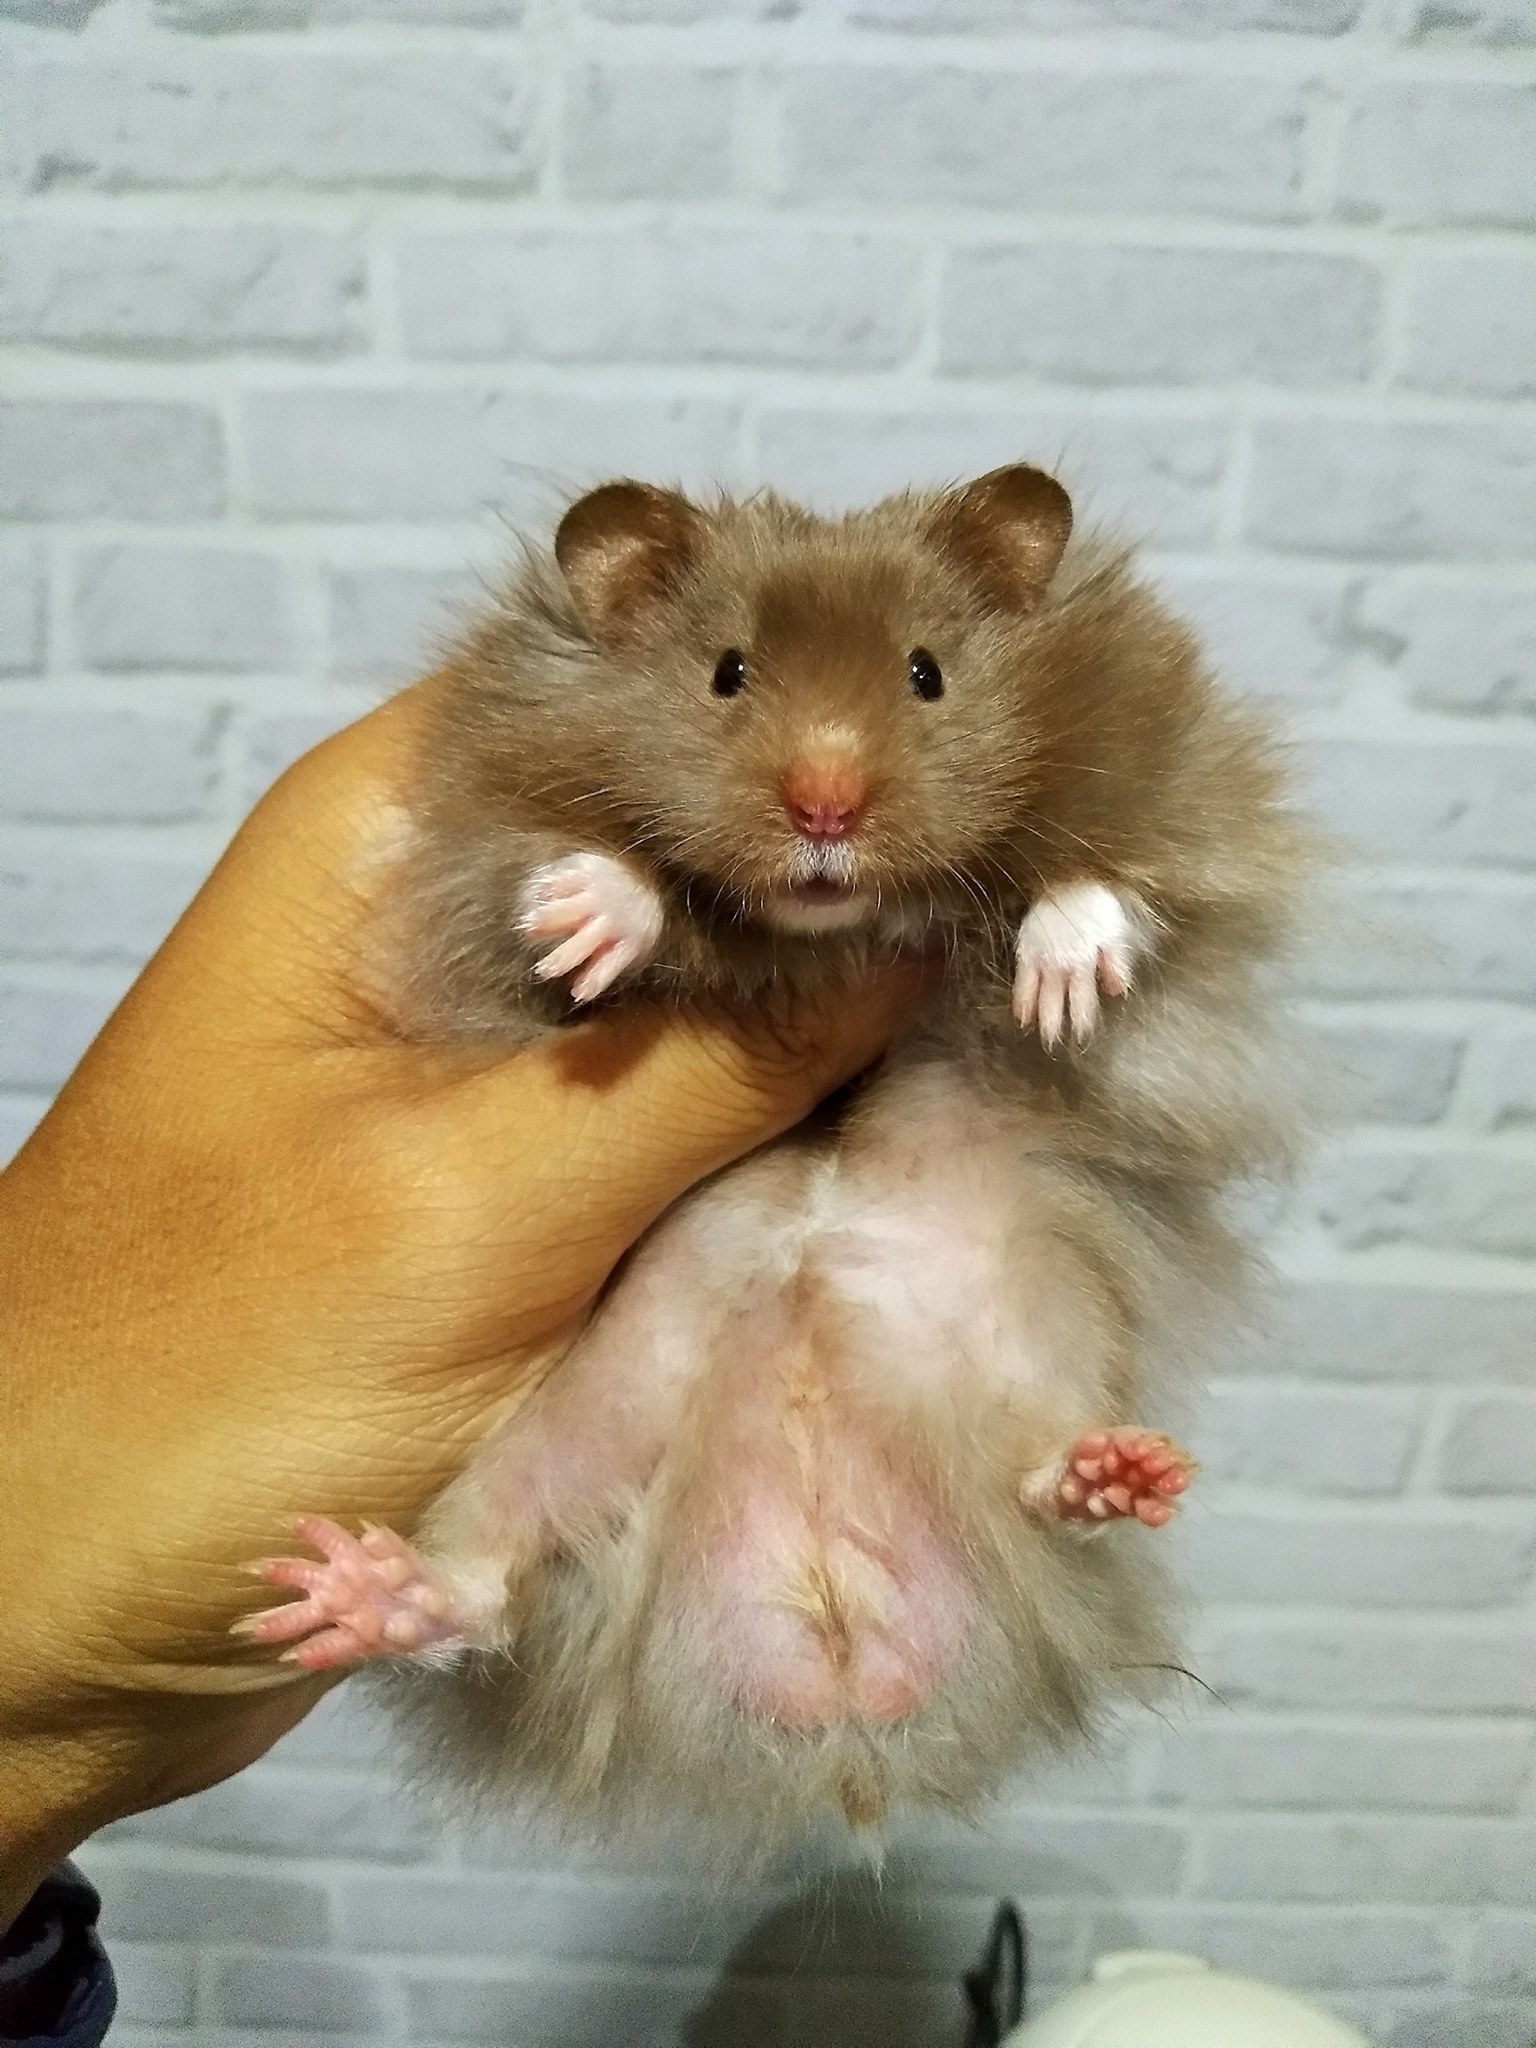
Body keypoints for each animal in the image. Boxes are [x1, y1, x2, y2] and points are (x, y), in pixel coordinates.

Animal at [240, 465, 1312, 1847]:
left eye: (927, 673)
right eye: (727, 673)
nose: (826, 808)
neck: (830, 928)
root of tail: (835, 1662)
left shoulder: (1181, 788)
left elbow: (1110, 874)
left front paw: (1060, 980)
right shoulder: (478, 862)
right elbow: (574, 894)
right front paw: (593, 915)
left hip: (1041, 1328)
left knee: (1038, 1472)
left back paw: (1118, 1472)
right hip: (577, 1419)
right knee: (486, 1579)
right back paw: (343, 1592)